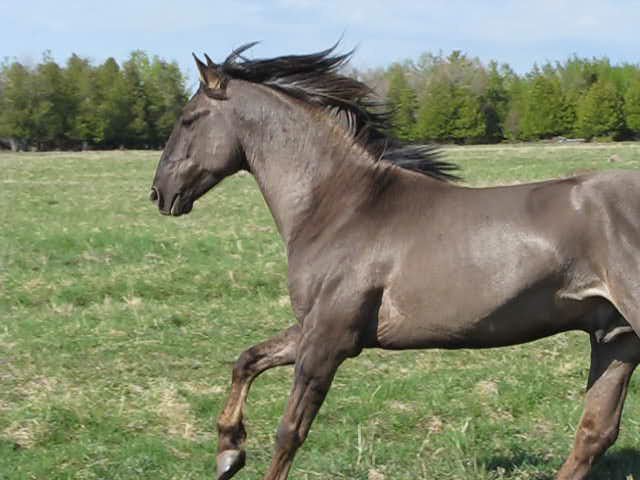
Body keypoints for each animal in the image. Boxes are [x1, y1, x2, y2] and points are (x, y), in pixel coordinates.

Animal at [150, 44, 640, 480]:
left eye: (188, 119)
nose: (159, 193)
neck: (342, 207)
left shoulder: (329, 339)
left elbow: (290, 431)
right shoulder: (316, 328)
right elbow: (247, 360)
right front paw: (228, 453)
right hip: (614, 340)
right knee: (594, 435)